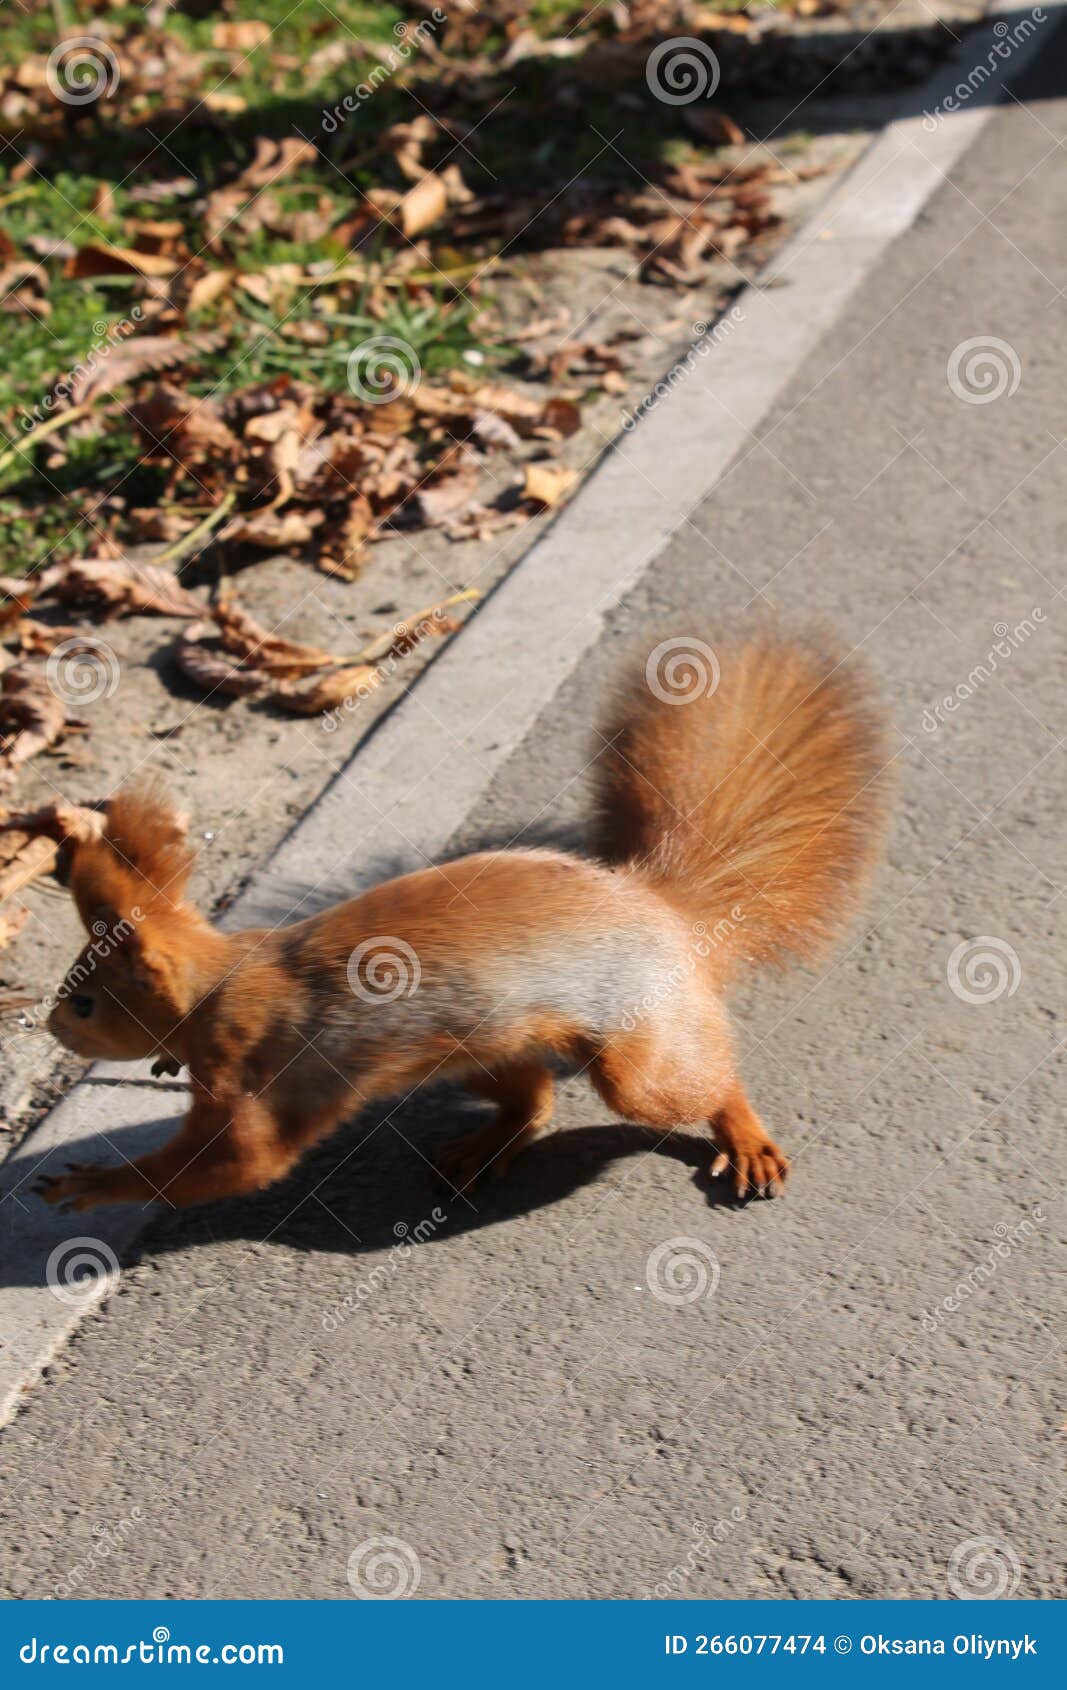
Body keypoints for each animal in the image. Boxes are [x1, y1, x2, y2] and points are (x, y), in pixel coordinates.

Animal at [37, 630, 889, 1215]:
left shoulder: (257, 1070)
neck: (220, 984)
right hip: (477, 1044)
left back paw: (742, 1136)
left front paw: (98, 1185)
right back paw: (486, 1144)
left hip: (634, 1045)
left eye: (86, 1000)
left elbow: (234, 1164)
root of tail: (661, 906)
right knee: (532, 1098)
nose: (49, 1026)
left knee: (693, 1085)